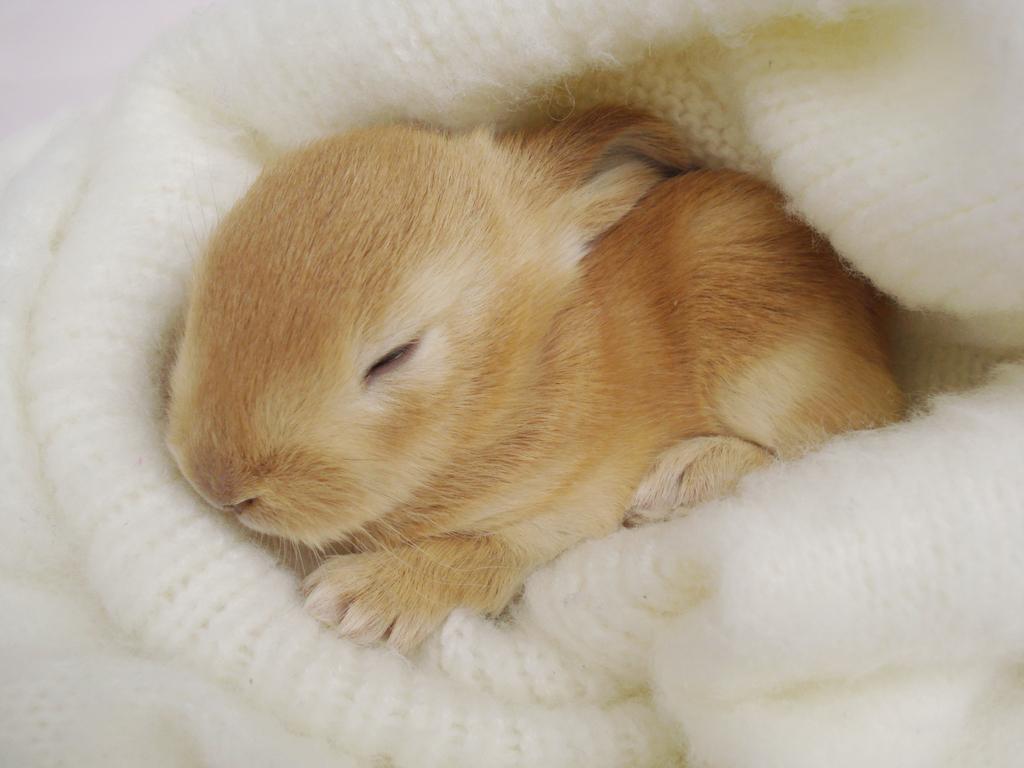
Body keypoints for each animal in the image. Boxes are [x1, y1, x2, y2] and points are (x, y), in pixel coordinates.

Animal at [165, 107, 904, 652]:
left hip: (765, 359)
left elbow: (478, 556)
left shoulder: (560, 513)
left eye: (393, 357)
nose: (218, 484)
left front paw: (354, 599)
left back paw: (678, 479)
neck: (510, 384)